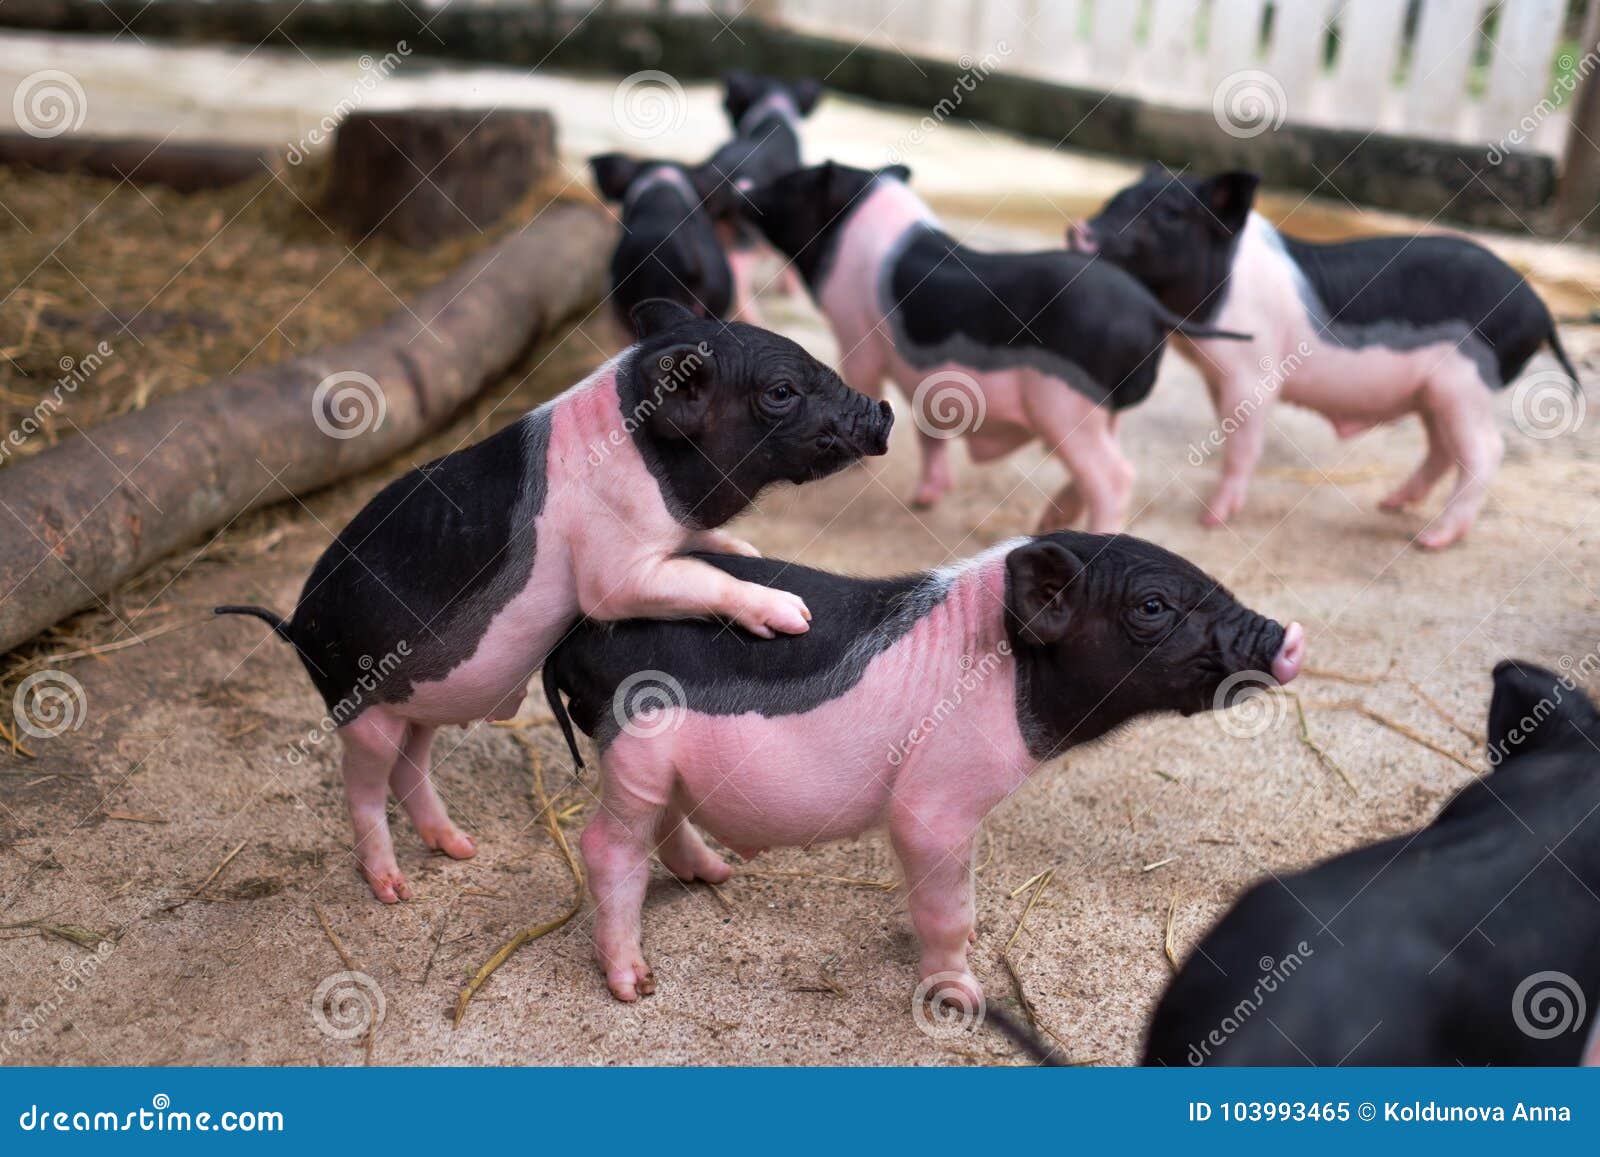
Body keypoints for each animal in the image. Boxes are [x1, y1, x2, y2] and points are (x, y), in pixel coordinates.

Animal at [215, 298, 893, 903]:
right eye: (781, 390)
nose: (884, 412)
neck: (649, 456)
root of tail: (295, 623)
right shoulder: (614, 573)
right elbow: (681, 580)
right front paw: (794, 614)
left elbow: (715, 548)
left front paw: (750, 549)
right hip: (358, 703)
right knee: (362, 785)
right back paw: (394, 890)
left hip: (418, 699)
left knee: (411, 767)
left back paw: (459, 849)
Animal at [542, 532, 1304, 1004]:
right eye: (1152, 606)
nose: (1287, 634)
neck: (1005, 665)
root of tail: (572, 637)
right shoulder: (935, 798)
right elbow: (943, 896)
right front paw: (961, 998)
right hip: (632, 748)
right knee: (606, 845)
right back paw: (634, 985)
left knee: (665, 822)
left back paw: (718, 874)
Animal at [740, 162, 1249, 532]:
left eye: (791, 185)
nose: (743, 183)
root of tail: (1152, 309)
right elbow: (929, 431)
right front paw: (925, 499)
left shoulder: (854, 332)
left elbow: (863, 379)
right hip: (1101, 412)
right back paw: (1050, 523)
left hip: (1066, 406)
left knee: (1114, 476)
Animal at [1070, 168, 1582, 549]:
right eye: (1116, 198)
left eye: (1171, 214)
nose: (1079, 230)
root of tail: (1540, 308)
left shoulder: (1251, 373)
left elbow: (1243, 443)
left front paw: (1209, 520)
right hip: (1434, 392)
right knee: (1442, 449)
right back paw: (1390, 504)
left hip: (1466, 384)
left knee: (1484, 451)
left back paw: (1431, 539)